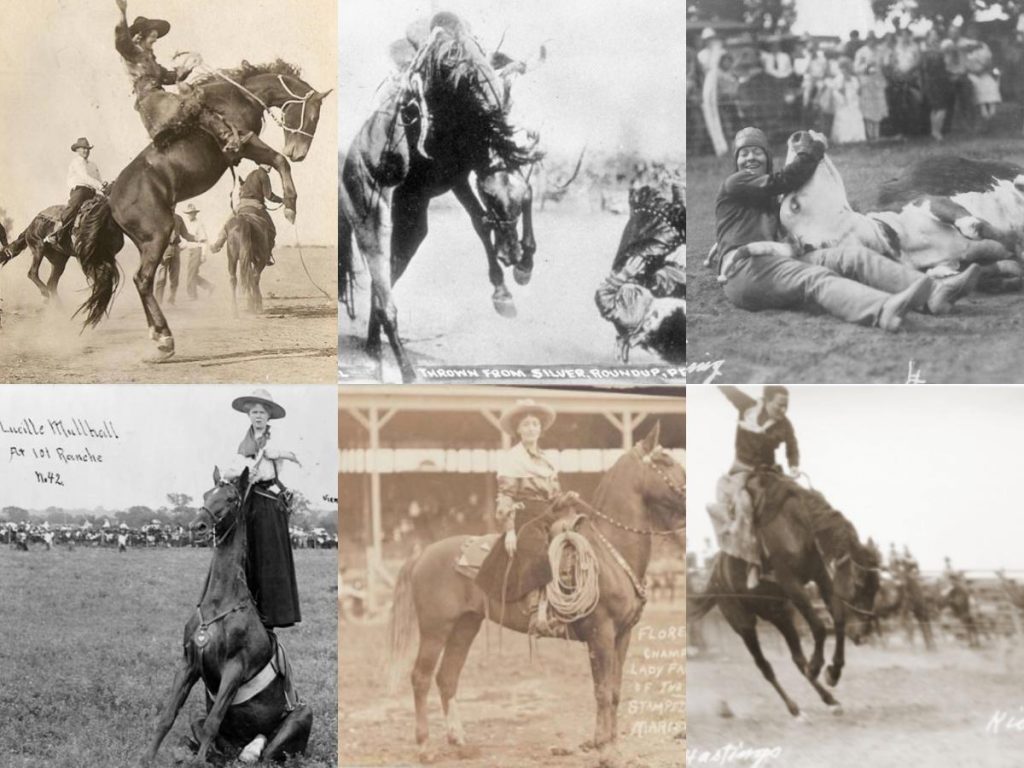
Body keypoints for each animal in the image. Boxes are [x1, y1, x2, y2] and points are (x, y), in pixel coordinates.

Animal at [72, 61, 330, 362]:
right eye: (314, 115)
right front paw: (290, 205)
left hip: (143, 241)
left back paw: (157, 336)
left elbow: (277, 162)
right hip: (158, 235)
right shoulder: (246, 142)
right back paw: (165, 339)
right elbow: (279, 161)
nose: (298, 153)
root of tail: (111, 197)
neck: (239, 97)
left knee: (141, 280)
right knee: (143, 279)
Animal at [142, 467, 312, 765]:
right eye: (206, 495)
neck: (220, 604)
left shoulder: (234, 669)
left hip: (300, 716)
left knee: (266, 755)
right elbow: (168, 715)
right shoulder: (188, 664)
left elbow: (214, 721)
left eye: (232, 498)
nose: (197, 526)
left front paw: (197, 763)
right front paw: (148, 758)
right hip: (206, 726)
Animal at [339, 18, 539, 382]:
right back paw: (406, 373)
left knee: (380, 291)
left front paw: (517, 273)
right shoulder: (461, 173)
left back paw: (375, 350)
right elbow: (484, 219)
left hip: (410, 232)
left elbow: (498, 210)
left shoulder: (463, 175)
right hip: (373, 229)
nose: (511, 255)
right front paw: (509, 280)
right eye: (492, 198)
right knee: (386, 301)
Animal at [385, 423, 683, 764]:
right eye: (665, 460)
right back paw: (425, 747)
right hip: (436, 629)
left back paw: (459, 741)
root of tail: (423, 553)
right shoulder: (601, 633)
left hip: (465, 626)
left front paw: (611, 744)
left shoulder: (622, 635)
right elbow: (603, 690)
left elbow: (615, 690)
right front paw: (605, 750)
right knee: (421, 677)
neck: (609, 552)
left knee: (447, 676)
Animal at [688, 470, 880, 718]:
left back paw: (829, 699)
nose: (863, 634)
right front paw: (817, 666)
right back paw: (794, 707)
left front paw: (833, 672)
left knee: (797, 659)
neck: (802, 527)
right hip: (743, 624)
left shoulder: (822, 576)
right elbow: (819, 626)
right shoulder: (792, 583)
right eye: (858, 584)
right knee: (764, 666)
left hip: (780, 615)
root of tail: (715, 576)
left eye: (877, 587)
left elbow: (837, 619)